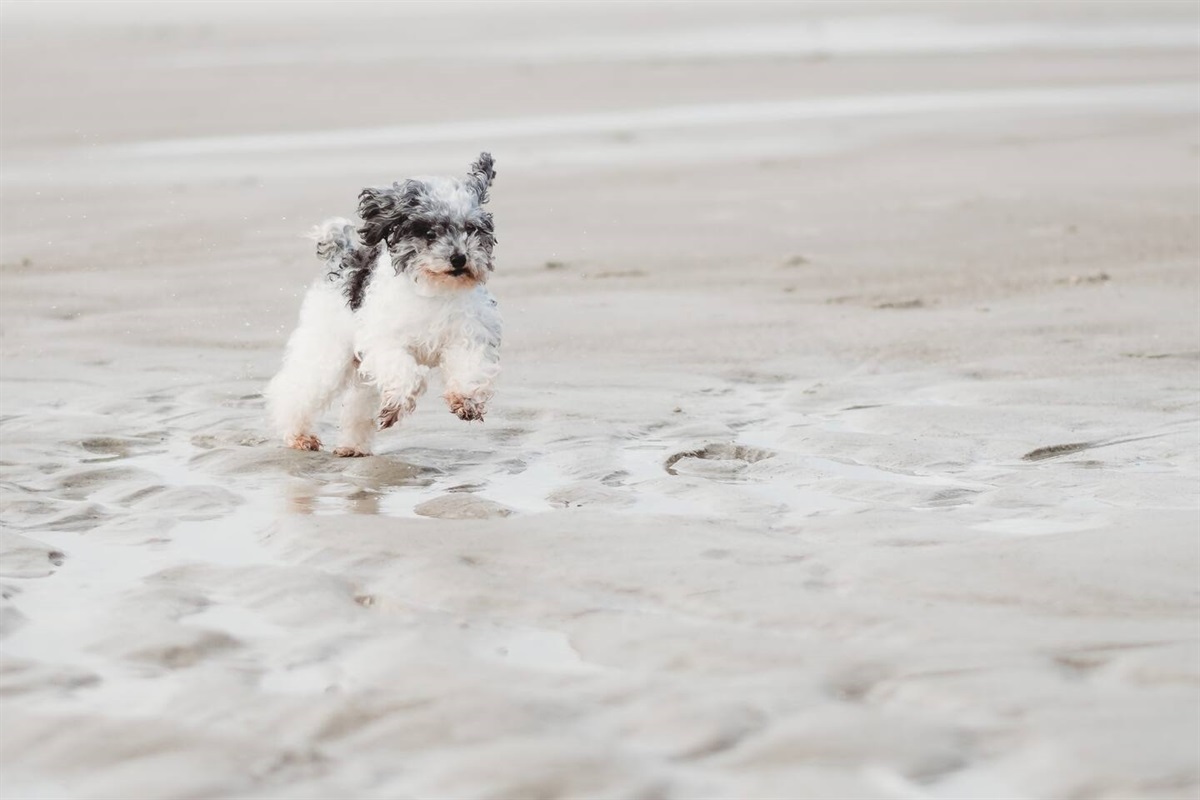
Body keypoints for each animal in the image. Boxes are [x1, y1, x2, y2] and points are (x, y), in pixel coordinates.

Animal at [262, 153, 501, 455]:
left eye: (470, 228)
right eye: (429, 233)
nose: (459, 258)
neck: (434, 291)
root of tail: (342, 255)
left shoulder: (467, 337)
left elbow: (470, 369)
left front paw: (465, 401)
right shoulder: (385, 344)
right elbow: (408, 376)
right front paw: (396, 406)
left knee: (356, 405)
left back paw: (353, 446)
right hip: (328, 354)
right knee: (294, 392)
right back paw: (298, 436)